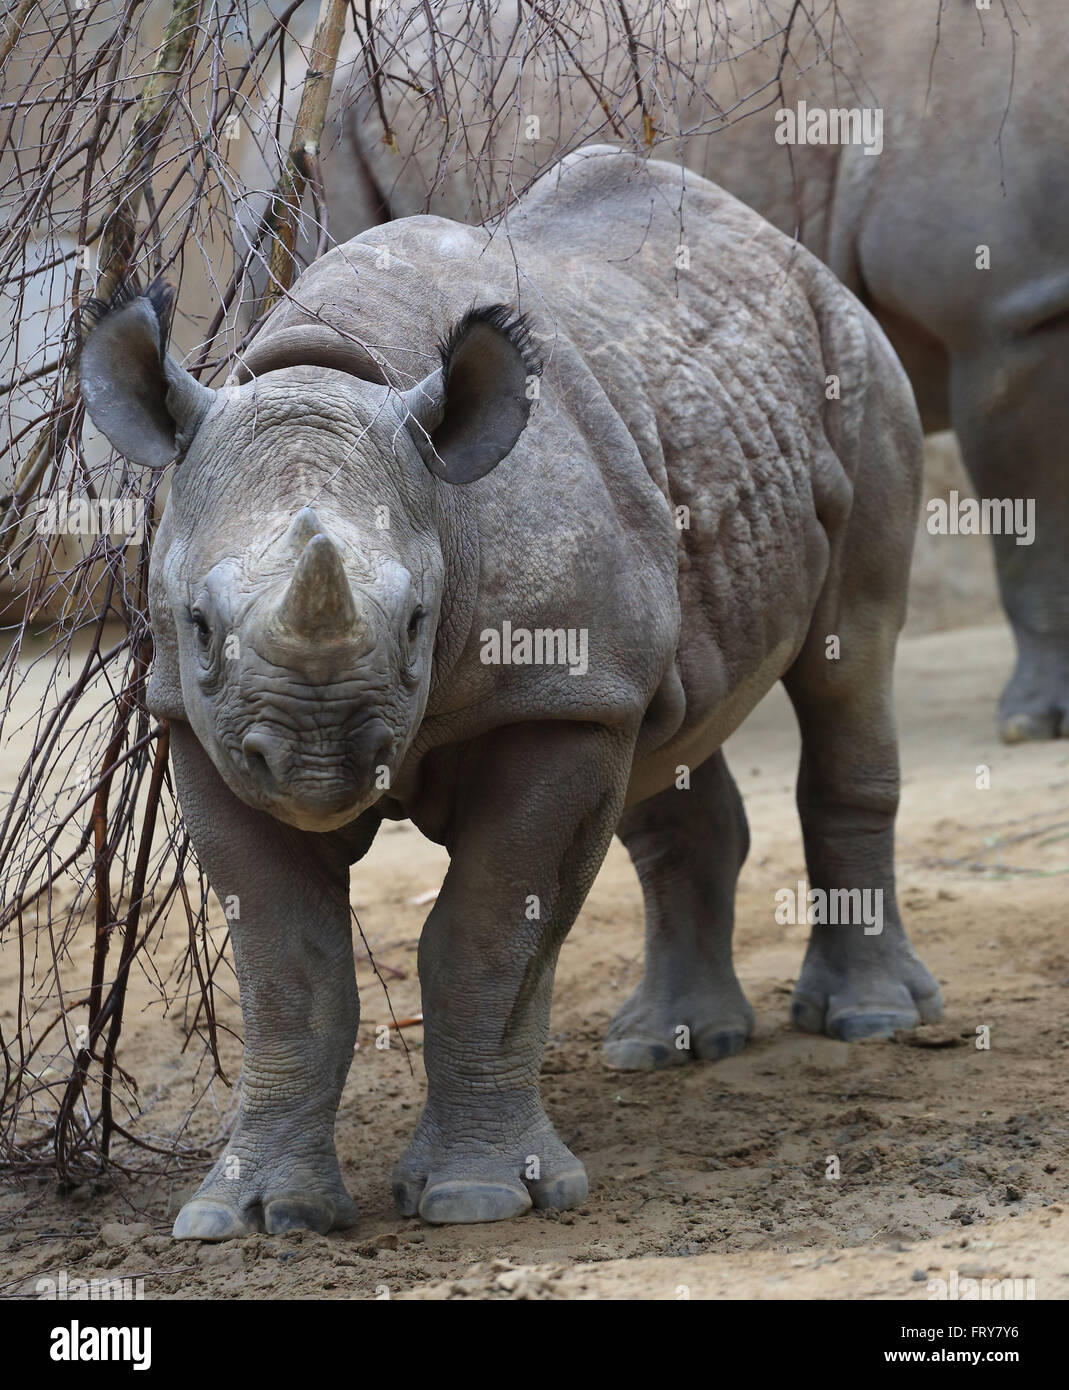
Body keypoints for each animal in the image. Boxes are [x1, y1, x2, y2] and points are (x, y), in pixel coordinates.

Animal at [80, 147, 940, 1237]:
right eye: (197, 624)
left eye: (416, 621)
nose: (318, 762)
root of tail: (782, 249)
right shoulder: (194, 723)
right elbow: (286, 967)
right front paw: (252, 1215)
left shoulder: (552, 700)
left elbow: (489, 932)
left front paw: (480, 1198)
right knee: (666, 724)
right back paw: (667, 1045)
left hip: (857, 368)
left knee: (848, 657)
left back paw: (870, 1019)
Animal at [260, 0, 1069, 741]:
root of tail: (297, 60)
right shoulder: (1010, 315)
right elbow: (1030, 515)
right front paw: (1032, 723)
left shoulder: (1017, 312)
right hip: (321, 133)